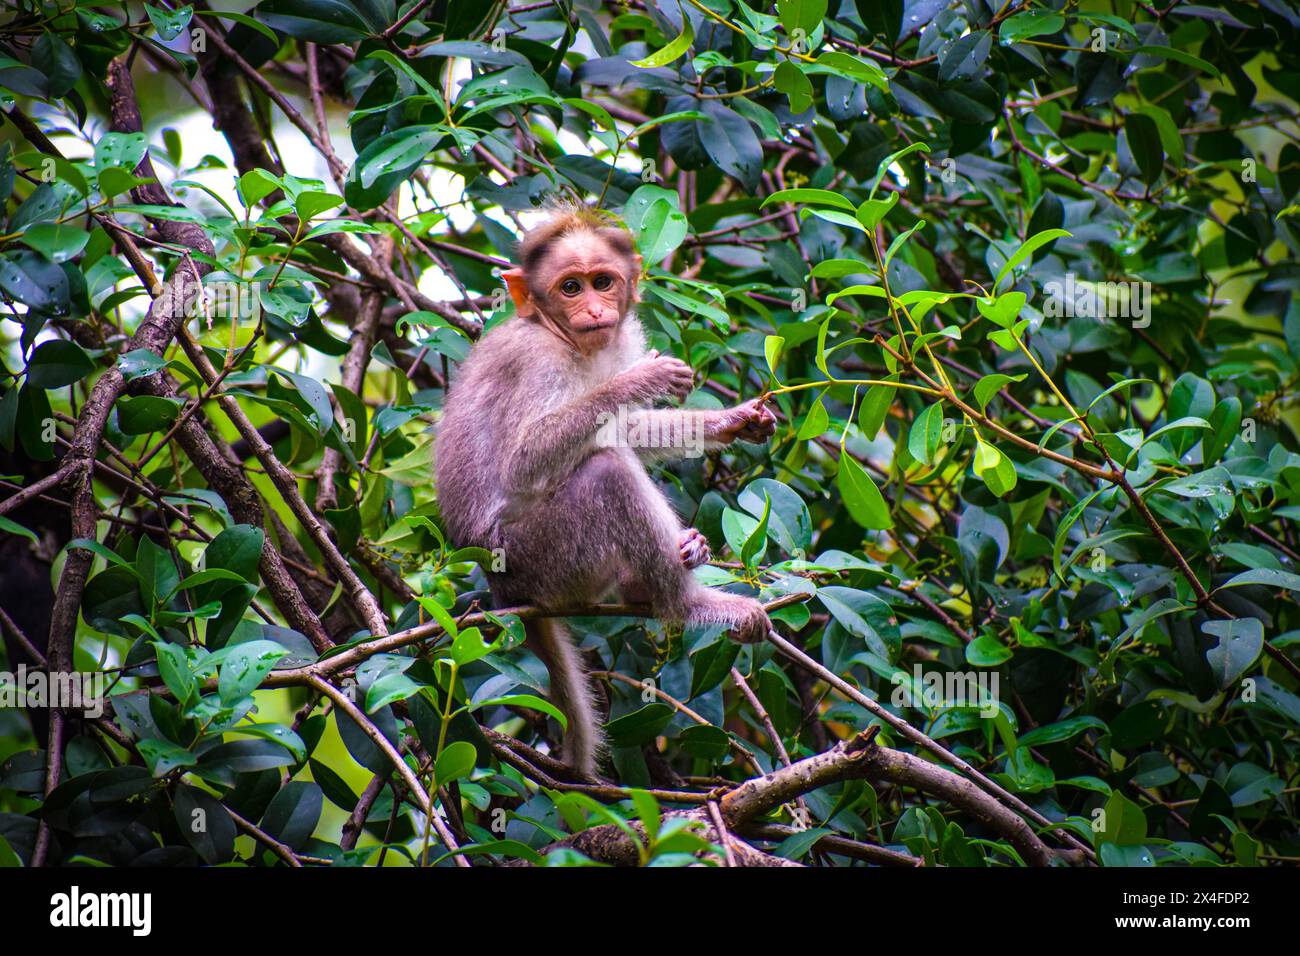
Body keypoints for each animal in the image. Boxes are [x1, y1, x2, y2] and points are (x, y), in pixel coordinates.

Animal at [434, 204, 777, 779]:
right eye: (570, 287)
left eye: (603, 282)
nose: (595, 309)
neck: (565, 339)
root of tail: (505, 589)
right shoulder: (536, 362)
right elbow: (523, 461)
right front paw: (641, 380)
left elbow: (625, 428)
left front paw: (730, 421)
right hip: (541, 558)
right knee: (606, 474)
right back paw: (684, 602)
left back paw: (664, 570)